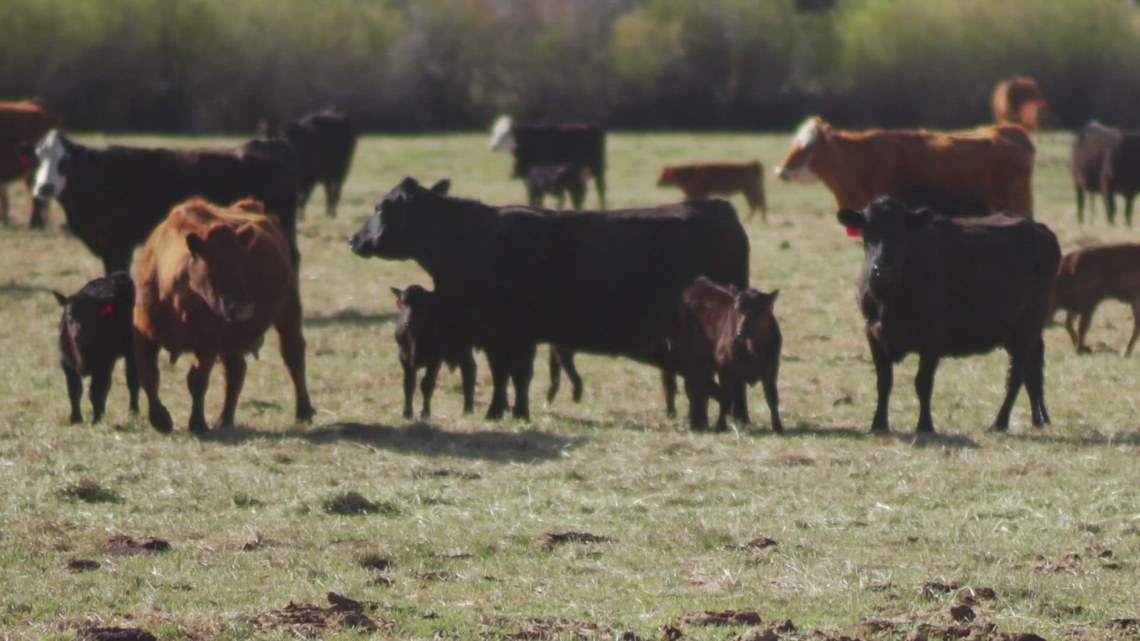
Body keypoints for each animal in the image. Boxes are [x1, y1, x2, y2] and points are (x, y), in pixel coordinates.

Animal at [54, 271, 139, 425]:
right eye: (69, 316)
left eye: (91, 317)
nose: (78, 335)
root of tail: (119, 275)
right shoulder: (67, 363)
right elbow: (74, 390)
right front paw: (75, 418)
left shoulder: (104, 364)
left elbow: (96, 392)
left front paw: (95, 420)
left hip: (132, 350)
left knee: (132, 380)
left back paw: (133, 411)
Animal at [133, 198, 314, 434]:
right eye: (213, 266)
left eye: (242, 264)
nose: (243, 308)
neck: (176, 299)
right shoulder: (145, 336)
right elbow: (149, 376)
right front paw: (160, 419)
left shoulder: (208, 341)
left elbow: (197, 380)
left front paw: (197, 423)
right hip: (233, 338)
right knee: (236, 371)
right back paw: (225, 418)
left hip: (288, 312)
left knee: (293, 356)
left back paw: (303, 412)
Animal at [350, 177, 750, 426]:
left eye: (382, 207)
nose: (354, 240)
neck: (476, 239)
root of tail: (718, 207)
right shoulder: (494, 334)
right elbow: (501, 374)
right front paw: (497, 412)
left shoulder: (519, 332)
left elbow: (519, 374)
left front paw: (519, 412)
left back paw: (739, 418)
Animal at [667, 276, 782, 433]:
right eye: (738, 309)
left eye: (760, 310)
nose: (740, 332)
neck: (753, 350)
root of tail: (699, 283)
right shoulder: (725, 367)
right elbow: (726, 396)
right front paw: (720, 425)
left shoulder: (771, 369)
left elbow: (772, 397)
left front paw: (778, 427)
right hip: (689, 355)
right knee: (692, 386)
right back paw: (695, 421)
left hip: (707, 364)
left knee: (702, 387)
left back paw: (701, 420)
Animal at [837, 197, 1060, 433]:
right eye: (867, 231)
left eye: (902, 232)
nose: (883, 271)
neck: (890, 300)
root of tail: (1038, 227)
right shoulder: (873, 333)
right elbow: (884, 382)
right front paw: (878, 424)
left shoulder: (932, 336)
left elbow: (923, 383)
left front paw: (925, 425)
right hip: (1016, 331)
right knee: (1032, 371)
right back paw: (1038, 419)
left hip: (1027, 326)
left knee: (1017, 373)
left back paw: (999, 422)